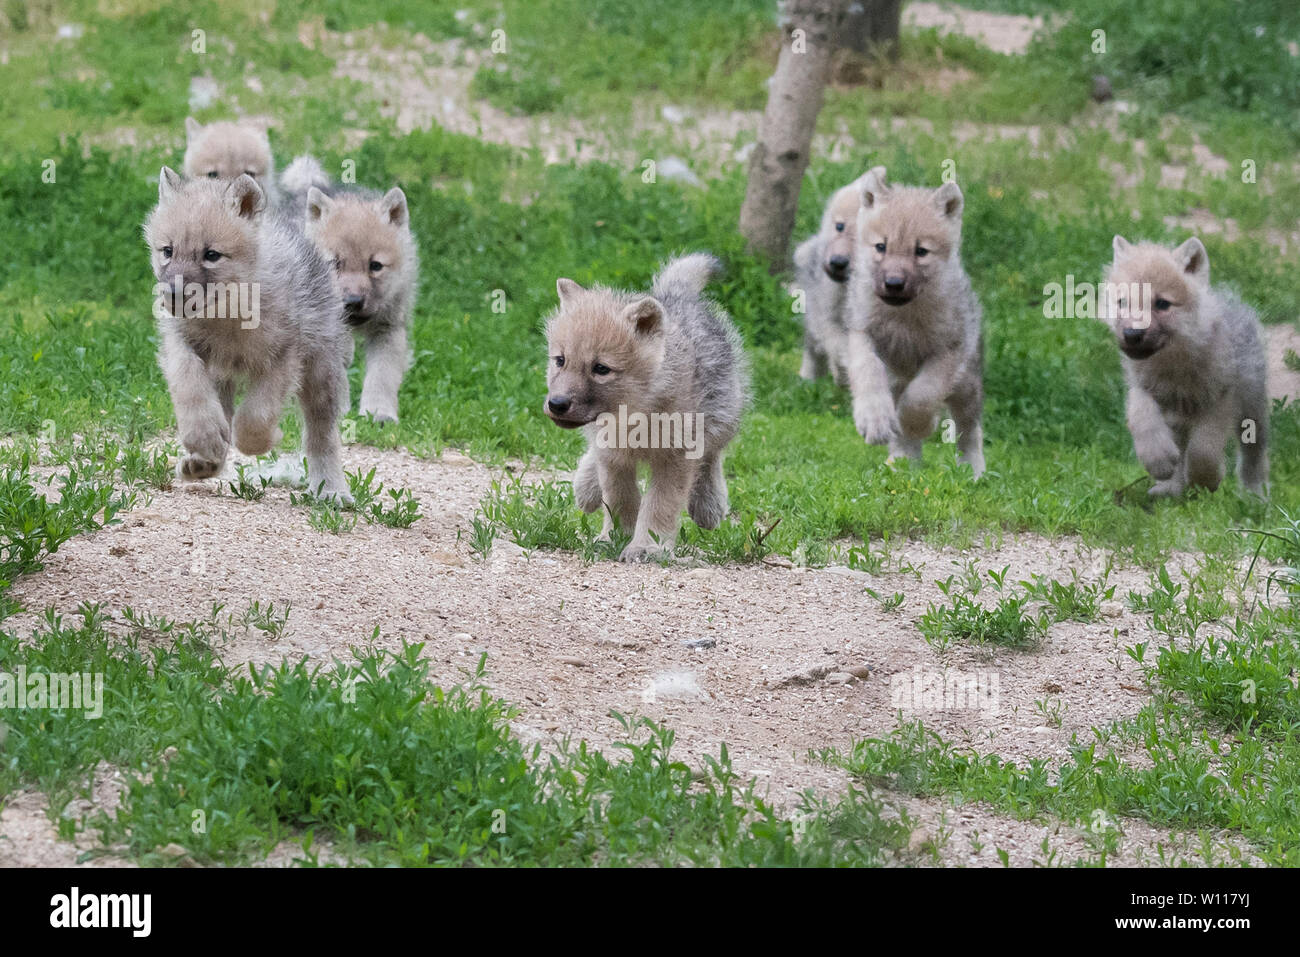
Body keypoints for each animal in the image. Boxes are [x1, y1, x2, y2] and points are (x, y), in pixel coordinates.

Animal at [143, 167, 352, 502]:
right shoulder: (180, 343)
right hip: (222, 378)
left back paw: (331, 490)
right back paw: (204, 462)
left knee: (322, 435)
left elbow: (257, 415)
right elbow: (190, 388)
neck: (227, 316)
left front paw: (262, 441)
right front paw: (204, 439)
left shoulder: (283, 357)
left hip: (322, 371)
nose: (172, 294)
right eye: (167, 251)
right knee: (221, 412)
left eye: (211, 254)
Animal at [281, 156, 418, 423]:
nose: (353, 301)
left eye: (375, 265)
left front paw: (379, 413)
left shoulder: (389, 329)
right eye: (335, 263)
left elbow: (383, 374)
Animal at [543, 254, 750, 562]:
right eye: (560, 360)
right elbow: (619, 498)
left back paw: (708, 504)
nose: (556, 404)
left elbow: (659, 505)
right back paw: (586, 486)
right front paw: (615, 536)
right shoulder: (613, 455)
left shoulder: (675, 456)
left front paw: (645, 547)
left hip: (722, 410)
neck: (633, 416)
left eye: (601, 369)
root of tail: (674, 294)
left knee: (713, 452)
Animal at [845, 167, 985, 477]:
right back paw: (902, 463)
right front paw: (874, 420)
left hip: (966, 384)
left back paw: (973, 469)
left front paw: (918, 424)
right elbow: (868, 370)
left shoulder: (948, 350)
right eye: (881, 246)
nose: (894, 283)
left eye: (921, 251)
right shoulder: (860, 333)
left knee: (969, 428)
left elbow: (923, 394)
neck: (903, 318)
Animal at [1105, 236, 1268, 497]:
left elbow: (1204, 449)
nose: (1131, 335)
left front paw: (1206, 481)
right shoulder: (1142, 389)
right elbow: (1142, 419)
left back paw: (1255, 497)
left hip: (1253, 411)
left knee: (1254, 456)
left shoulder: (1221, 399)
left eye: (1162, 304)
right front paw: (1159, 462)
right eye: (1123, 302)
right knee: (1180, 453)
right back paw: (1170, 489)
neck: (1173, 363)